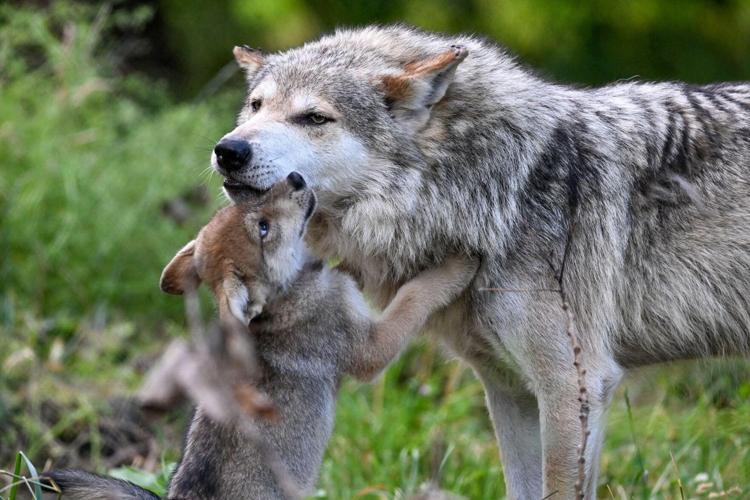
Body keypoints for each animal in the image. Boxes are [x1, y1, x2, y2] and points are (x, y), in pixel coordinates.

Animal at [45, 173, 478, 499]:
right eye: (264, 229)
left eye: (246, 207)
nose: (296, 176)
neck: (290, 295)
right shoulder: (370, 349)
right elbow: (416, 295)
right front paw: (459, 264)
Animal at [212, 26, 750, 498]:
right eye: (256, 107)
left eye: (314, 118)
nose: (228, 149)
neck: (496, 189)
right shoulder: (508, 388)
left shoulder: (574, 386)